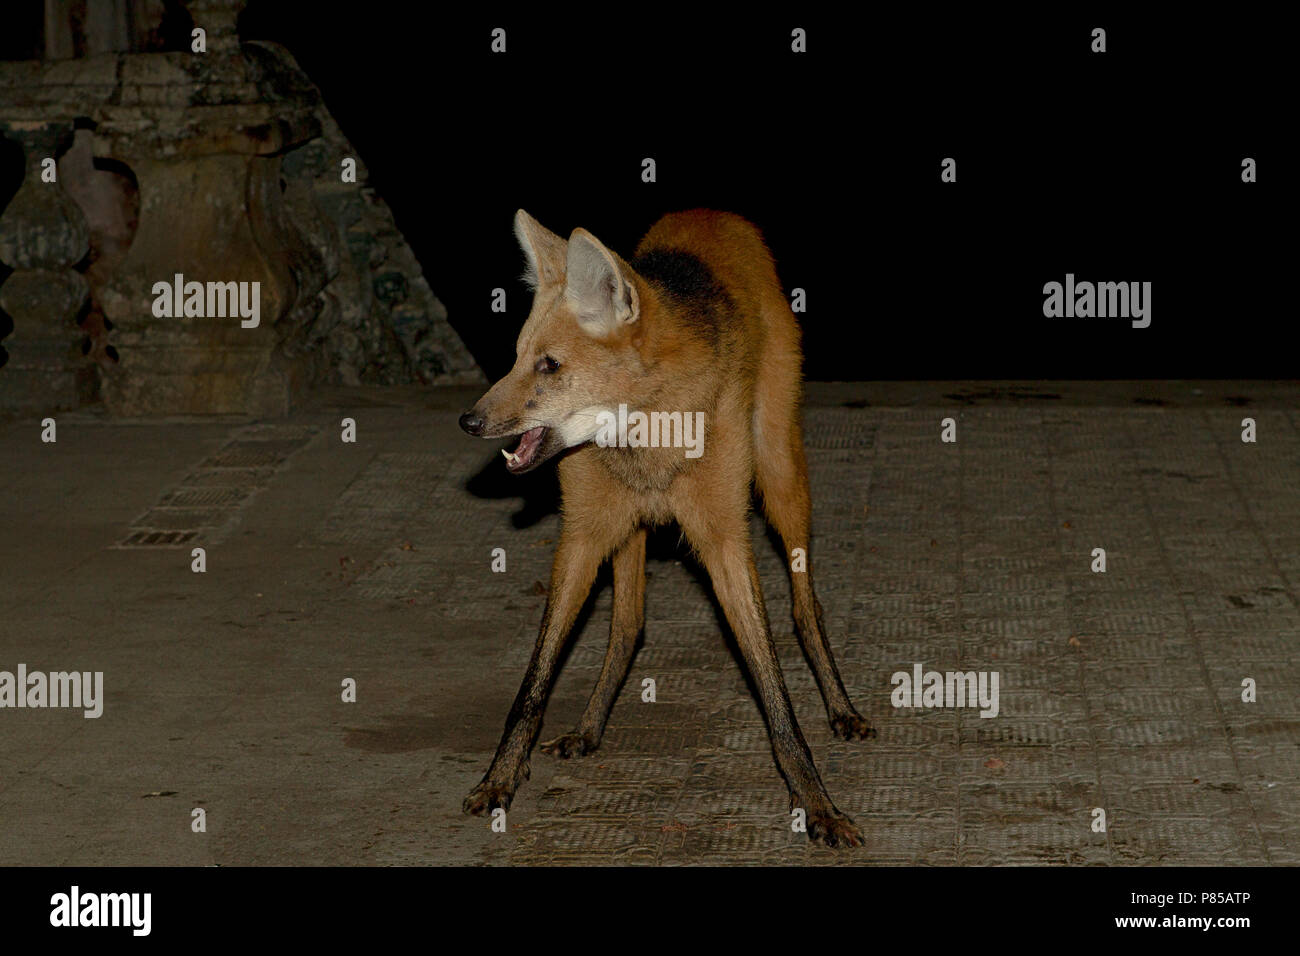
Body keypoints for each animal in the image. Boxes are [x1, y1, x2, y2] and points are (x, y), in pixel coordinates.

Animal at [458, 209, 872, 847]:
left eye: (549, 366)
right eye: (517, 357)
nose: (470, 421)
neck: (644, 447)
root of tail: (712, 213)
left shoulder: (724, 537)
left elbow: (773, 688)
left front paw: (816, 802)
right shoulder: (583, 535)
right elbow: (534, 681)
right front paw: (500, 777)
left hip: (780, 476)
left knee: (806, 609)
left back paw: (841, 708)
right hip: (628, 530)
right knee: (628, 624)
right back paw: (590, 727)